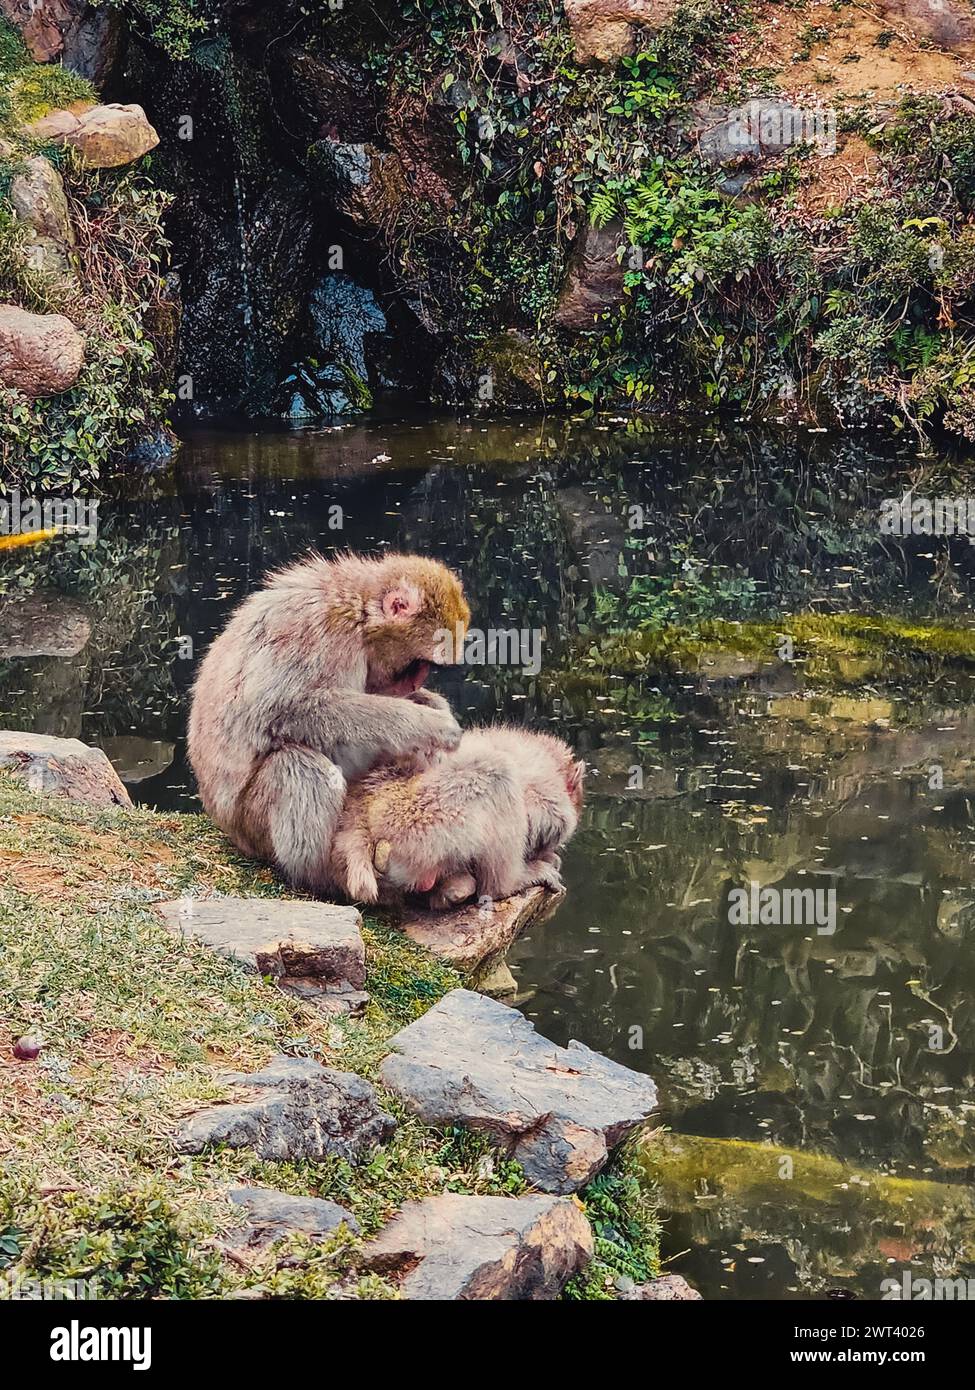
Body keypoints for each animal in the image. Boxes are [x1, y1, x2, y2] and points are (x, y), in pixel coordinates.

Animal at [187, 551, 470, 894]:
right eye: (419, 663)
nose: (417, 682)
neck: (359, 614)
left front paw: (432, 705)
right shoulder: (320, 632)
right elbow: (282, 710)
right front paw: (424, 724)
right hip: (251, 826)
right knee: (299, 766)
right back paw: (322, 876)